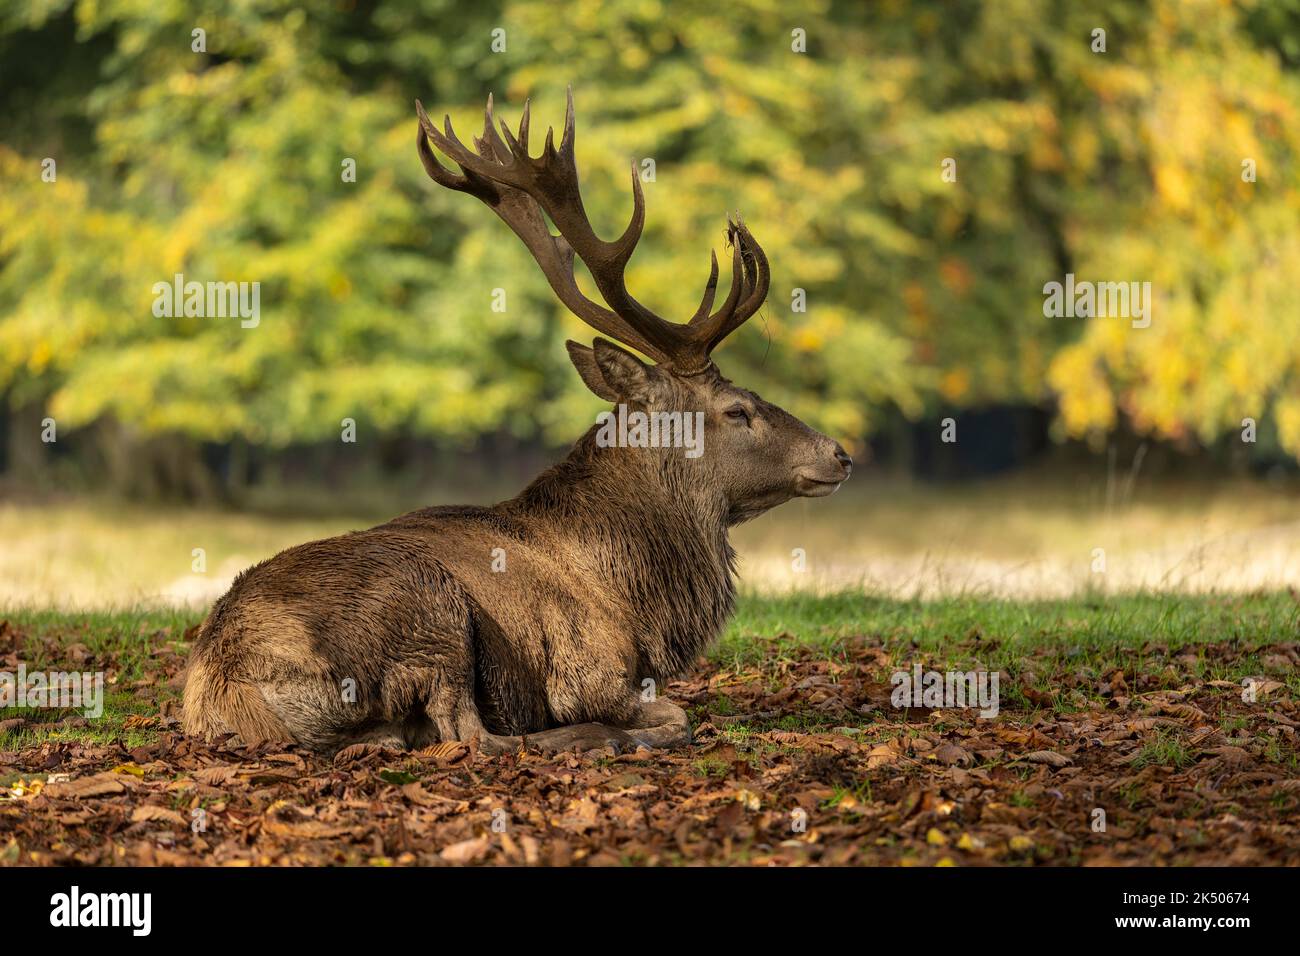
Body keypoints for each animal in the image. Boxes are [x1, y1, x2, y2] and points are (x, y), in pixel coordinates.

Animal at [181, 90, 852, 755]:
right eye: (737, 408)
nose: (839, 453)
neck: (636, 603)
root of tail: (225, 688)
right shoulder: (587, 669)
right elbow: (673, 714)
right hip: (429, 606)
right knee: (472, 736)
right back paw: (590, 740)